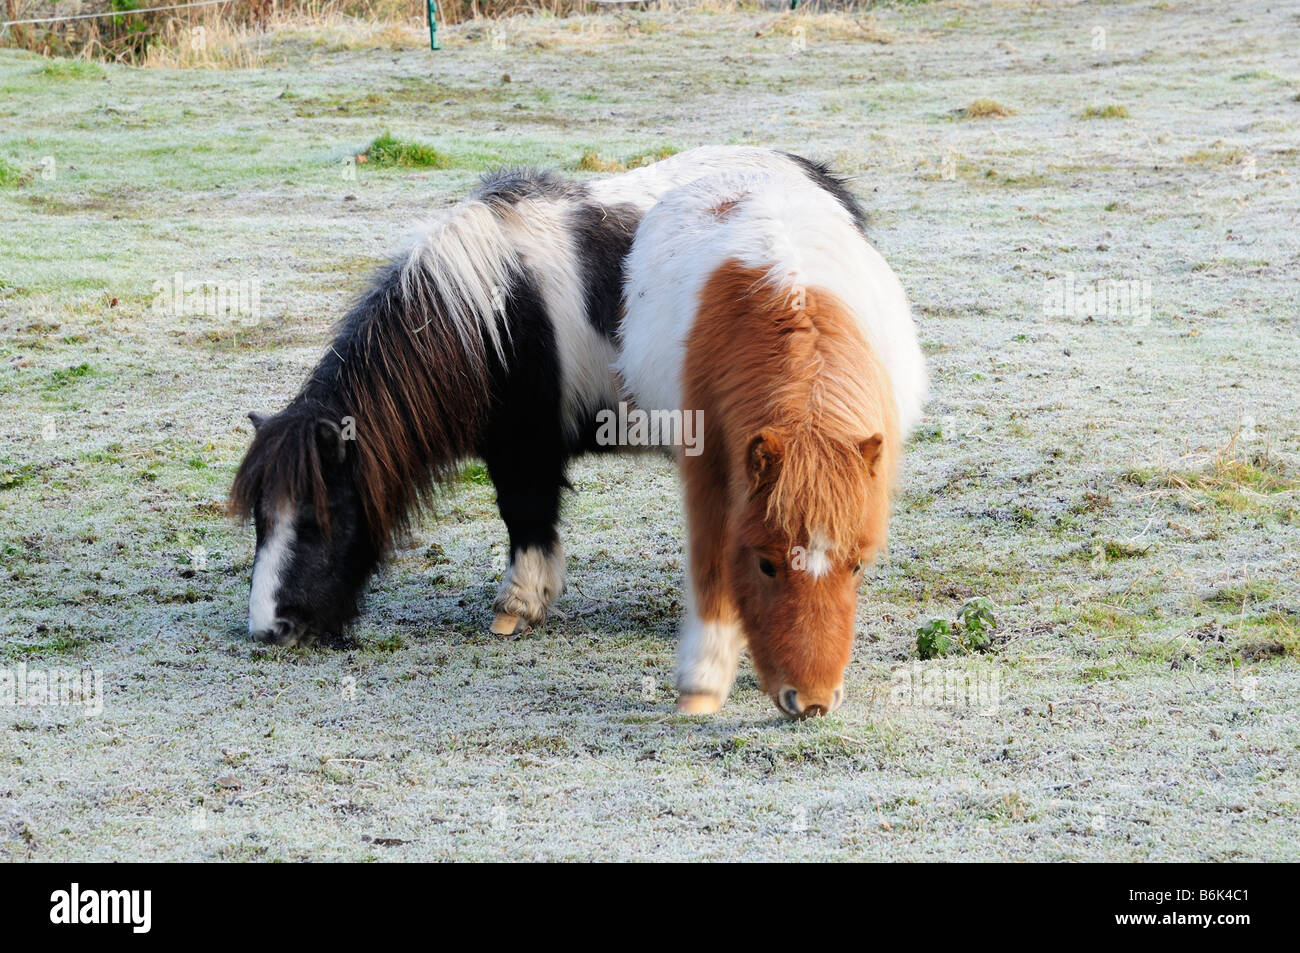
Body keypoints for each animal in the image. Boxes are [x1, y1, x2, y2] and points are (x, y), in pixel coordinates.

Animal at [228, 146, 862, 648]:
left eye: (318, 518)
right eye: (260, 519)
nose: (270, 627)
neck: (491, 315)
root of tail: (823, 186)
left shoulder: (524, 448)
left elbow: (525, 516)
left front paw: (517, 608)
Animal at [617, 168, 927, 717]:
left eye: (857, 566)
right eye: (766, 563)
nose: (812, 702)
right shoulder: (710, 479)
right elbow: (712, 570)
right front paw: (701, 684)